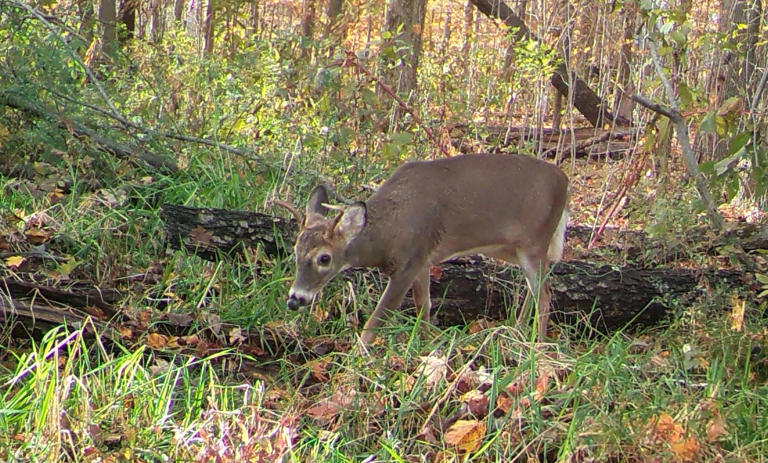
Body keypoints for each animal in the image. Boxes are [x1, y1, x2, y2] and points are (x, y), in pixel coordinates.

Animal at [277, 153, 568, 345]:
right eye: (295, 251)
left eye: (324, 258)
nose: (294, 299)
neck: (388, 233)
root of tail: (564, 181)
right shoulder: (423, 259)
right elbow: (424, 306)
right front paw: (426, 346)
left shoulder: (408, 263)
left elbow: (377, 319)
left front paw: (357, 361)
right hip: (512, 249)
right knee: (534, 291)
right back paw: (516, 332)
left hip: (534, 241)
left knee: (545, 295)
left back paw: (536, 346)